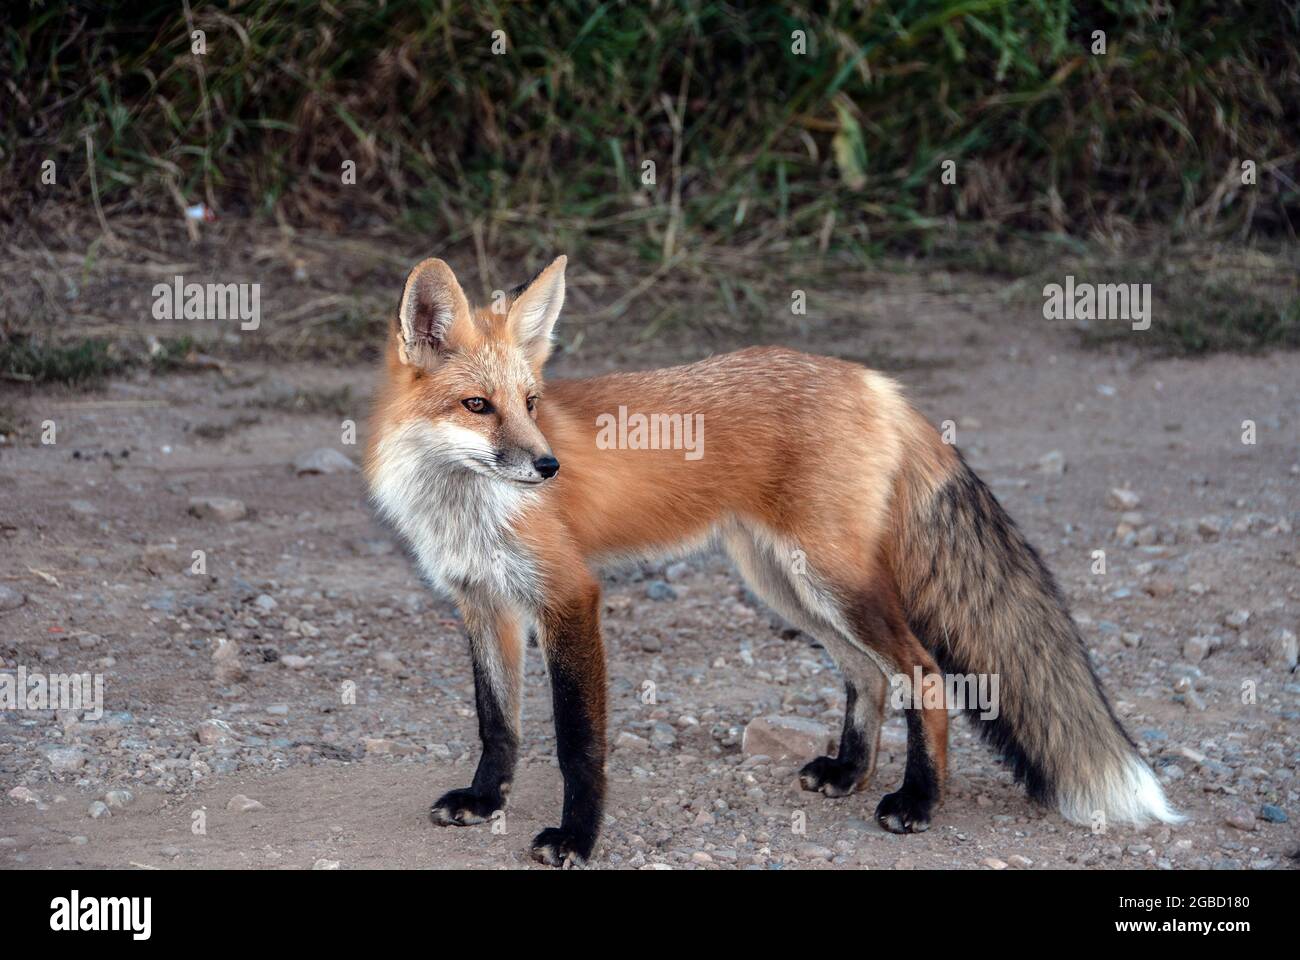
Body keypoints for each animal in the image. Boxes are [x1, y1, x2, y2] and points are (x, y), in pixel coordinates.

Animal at [364, 255, 1182, 867]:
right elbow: (496, 723)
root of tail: (876, 382)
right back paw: (850, 772)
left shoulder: (569, 596)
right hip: (783, 586)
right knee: (868, 675)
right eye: (477, 406)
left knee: (922, 672)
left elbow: (577, 742)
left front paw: (576, 838)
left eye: (532, 402)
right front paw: (484, 801)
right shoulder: (483, 603)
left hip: (830, 579)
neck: (463, 508)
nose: (548, 467)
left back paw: (917, 801)